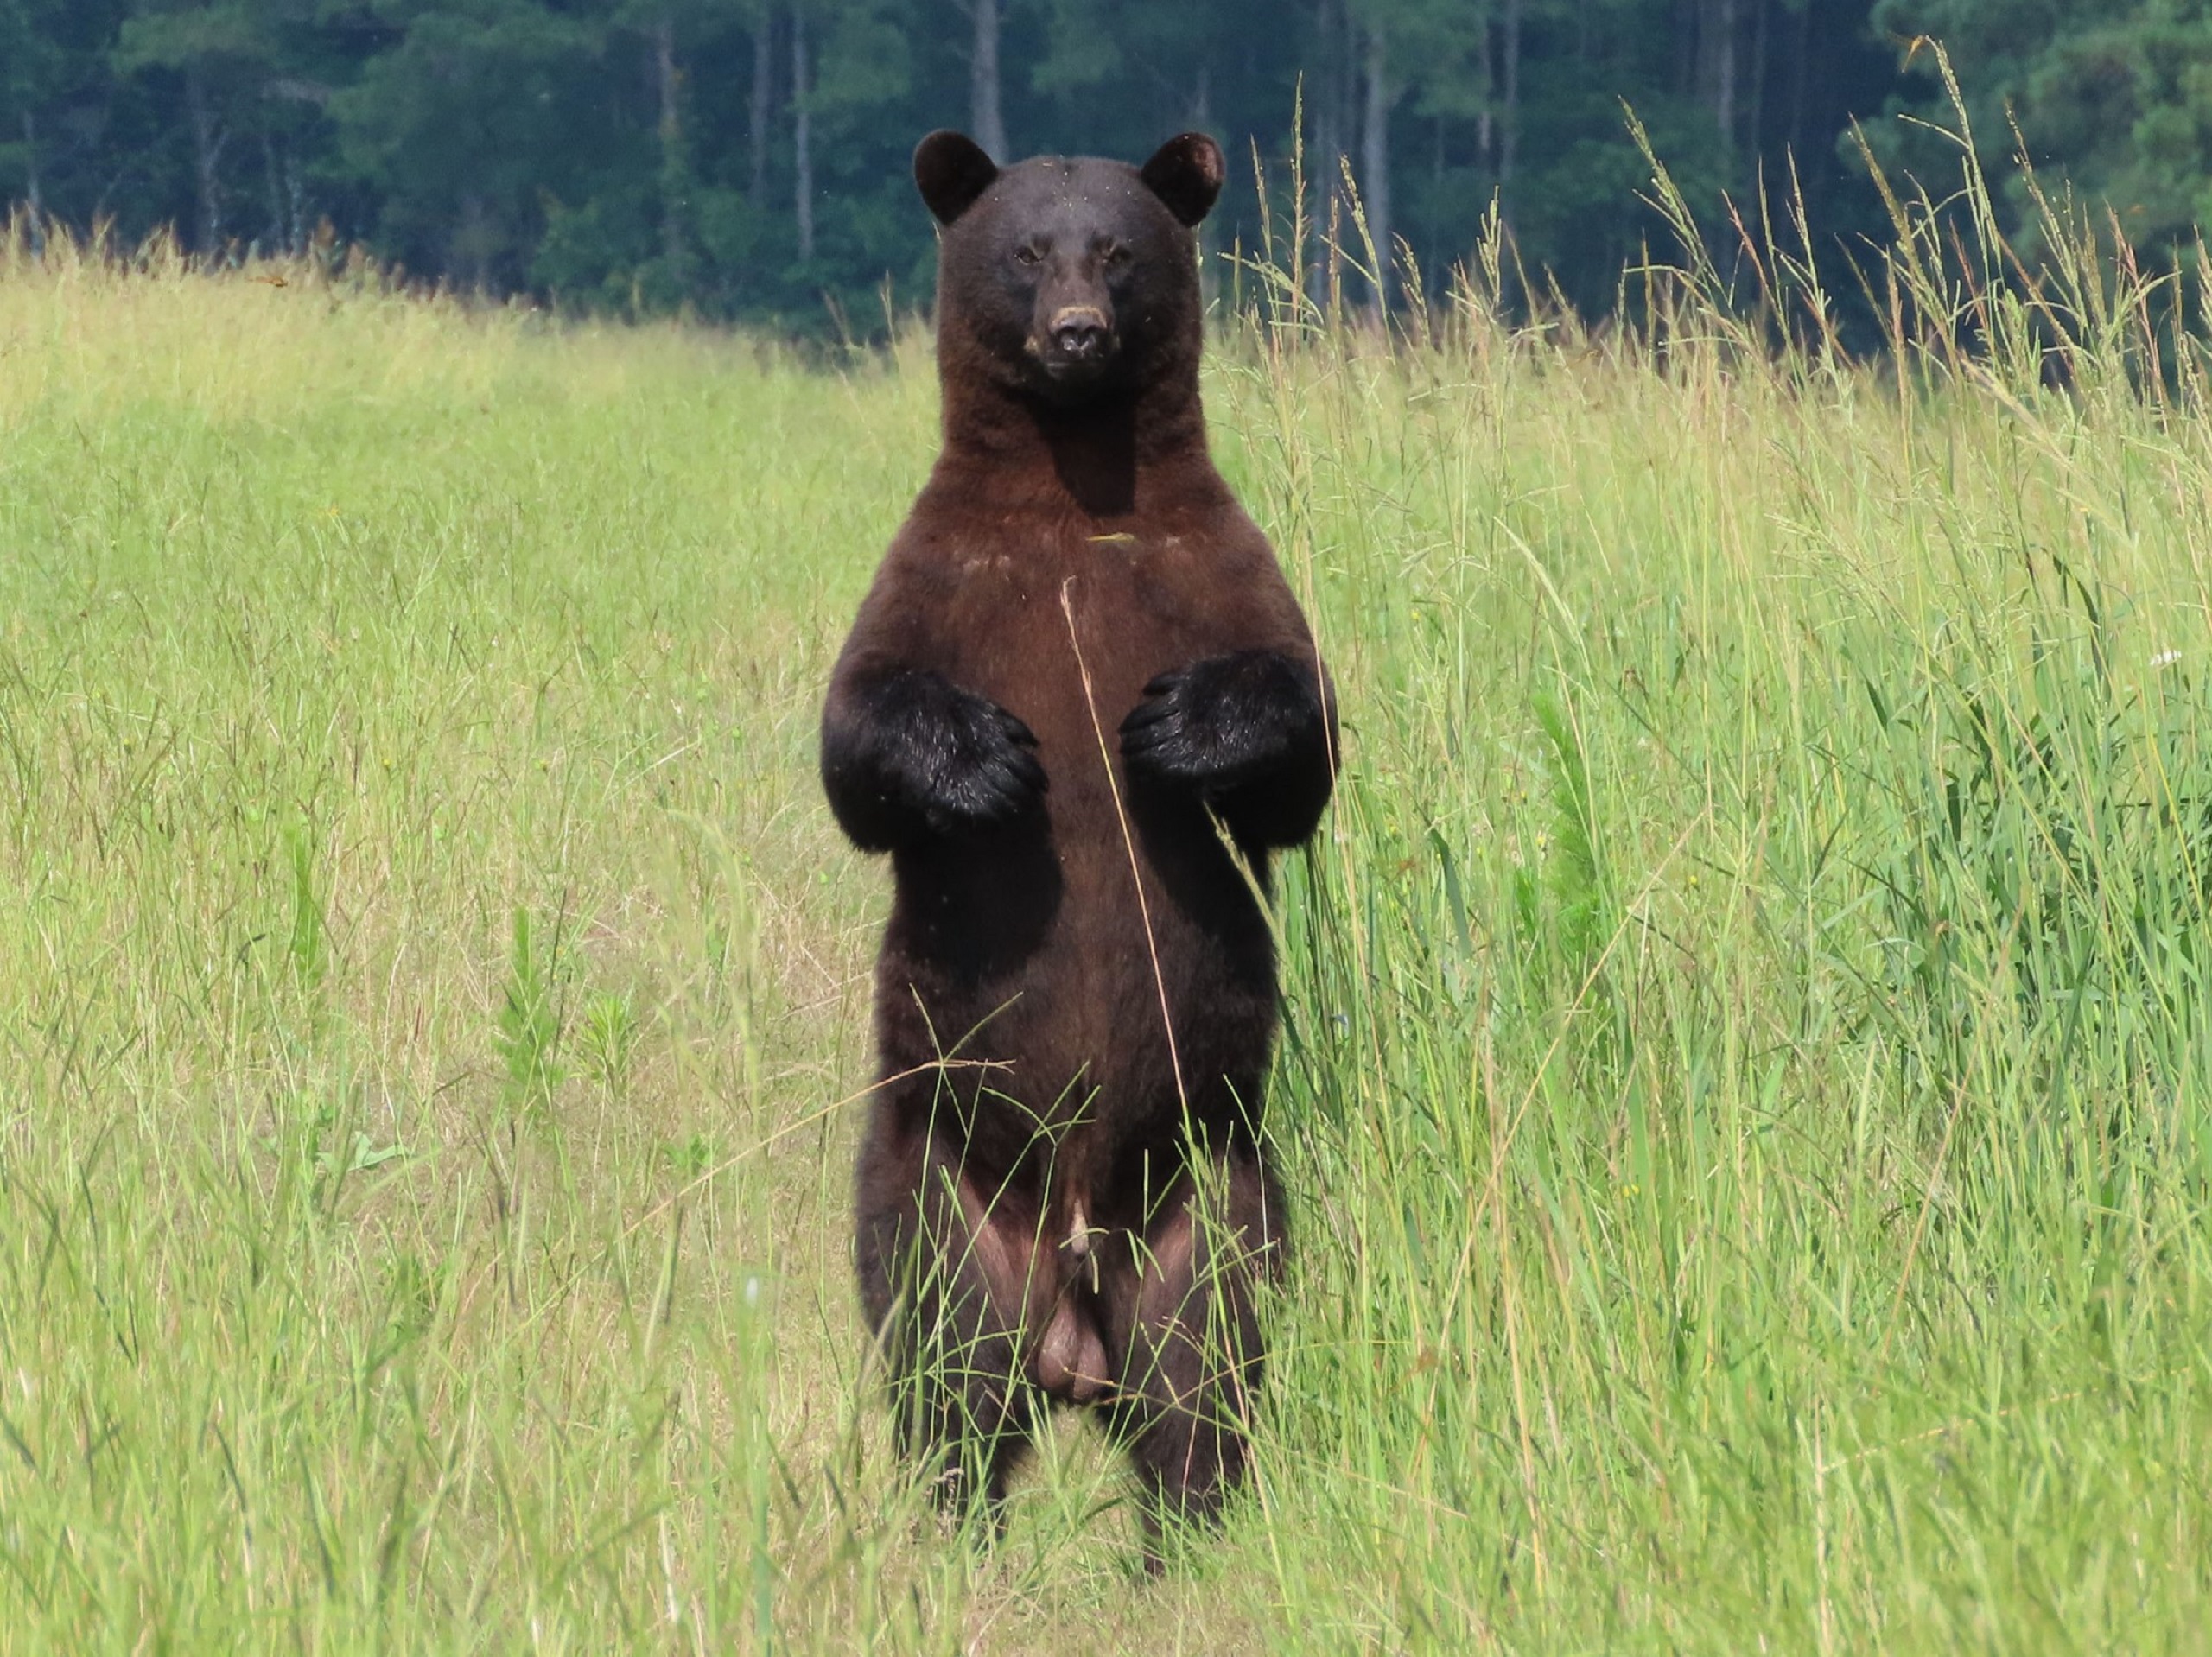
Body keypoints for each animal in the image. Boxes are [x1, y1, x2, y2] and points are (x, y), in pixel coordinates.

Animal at [819, 128, 1336, 1561]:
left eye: (1115, 250)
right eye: (1023, 252)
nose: (1076, 331)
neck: (1075, 487)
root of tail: (1071, 1318)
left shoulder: (1218, 571)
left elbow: (1305, 742)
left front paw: (1177, 730)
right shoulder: (936, 584)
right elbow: (856, 744)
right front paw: (989, 762)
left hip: (1211, 1196)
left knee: (1208, 1375)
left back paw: (1186, 1539)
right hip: (941, 1180)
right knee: (940, 1368)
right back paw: (955, 1534)